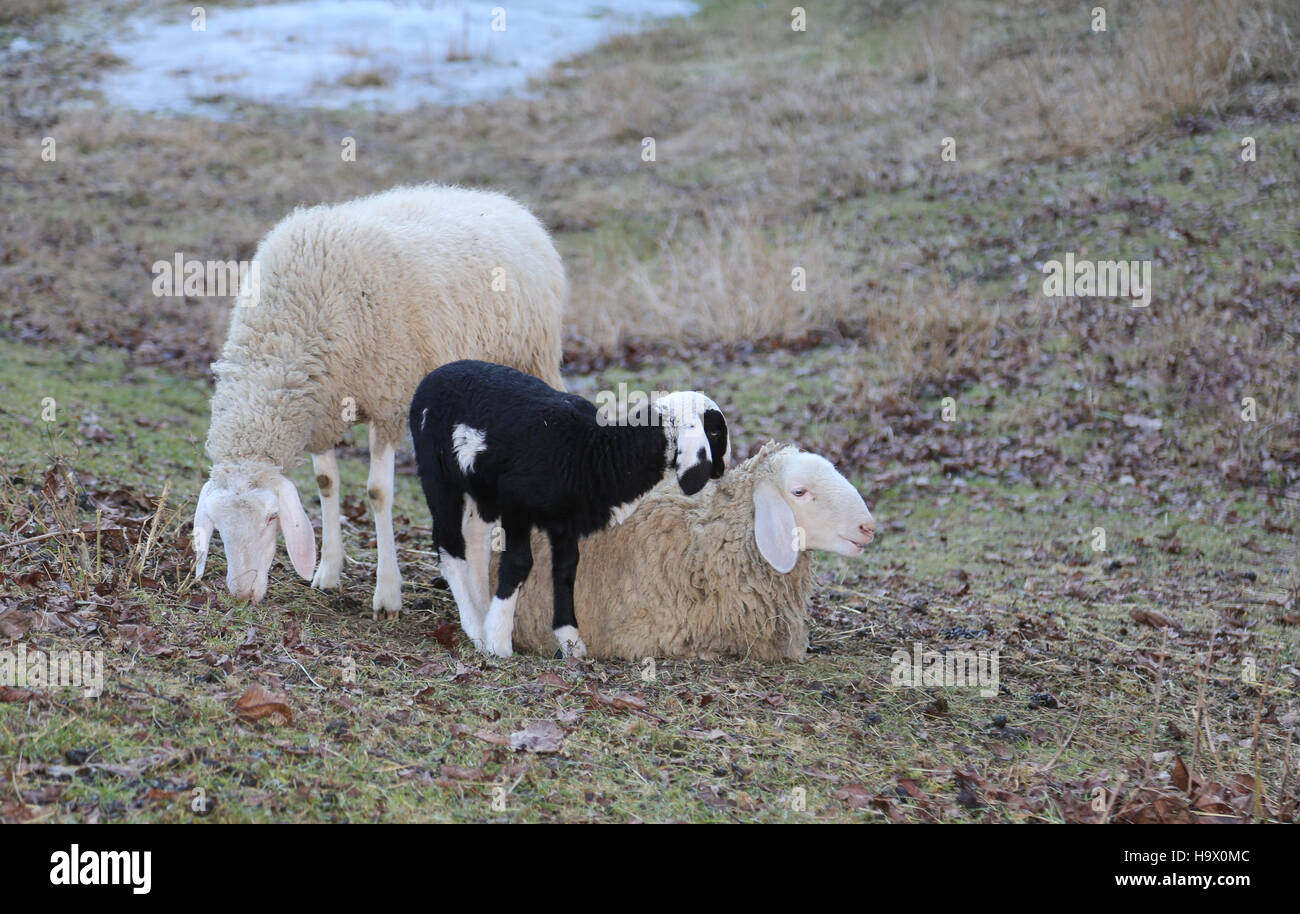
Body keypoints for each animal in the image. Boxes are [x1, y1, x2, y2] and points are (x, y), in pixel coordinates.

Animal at [192, 185, 566, 617]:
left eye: (272, 518)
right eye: (218, 525)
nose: (242, 595)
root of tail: (503, 201)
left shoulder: (389, 403)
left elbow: (378, 493)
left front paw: (388, 595)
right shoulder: (323, 410)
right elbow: (326, 483)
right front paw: (328, 572)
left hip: (532, 364)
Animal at [409, 359, 730, 659]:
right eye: (715, 431)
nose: (723, 468)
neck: (592, 450)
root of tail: (435, 375)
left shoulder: (565, 521)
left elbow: (566, 568)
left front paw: (570, 641)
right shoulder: (516, 504)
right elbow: (518, 563)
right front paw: (499, 641)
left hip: (479, 486)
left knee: (474, 541)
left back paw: (480, 609)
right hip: (438, 473)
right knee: (449, 547)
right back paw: (476, 626)